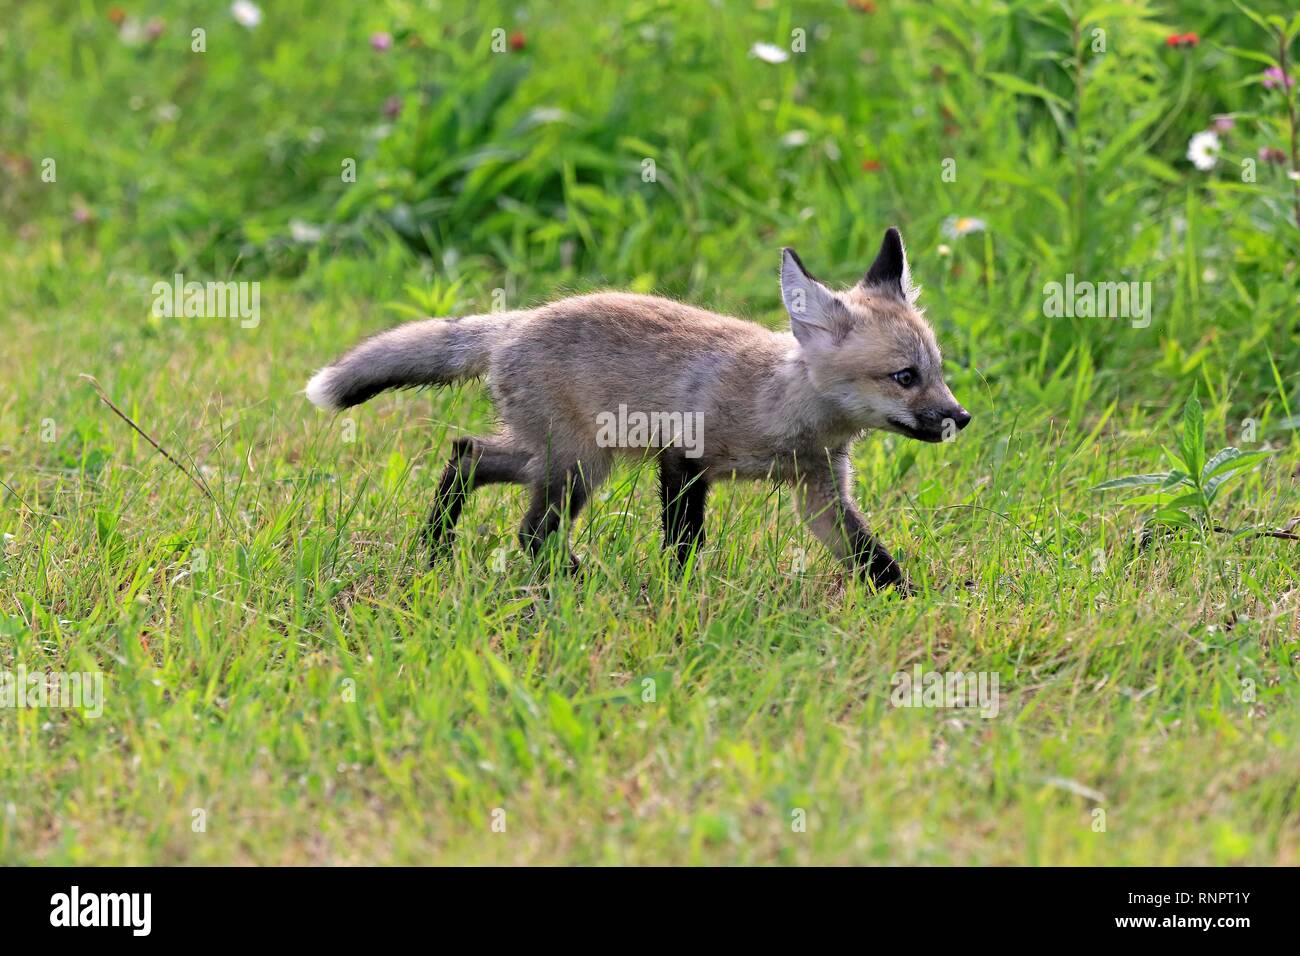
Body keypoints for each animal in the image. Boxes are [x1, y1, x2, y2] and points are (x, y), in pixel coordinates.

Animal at [305, 227, 970, 592]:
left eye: (939, 373)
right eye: (905, 378)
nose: (960, 418)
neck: (779, 409)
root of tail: (516, 322)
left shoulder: (822, 493)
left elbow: (874, 560)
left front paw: (912, 602)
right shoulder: (683, 458)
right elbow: (683, 544)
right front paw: (680, 597)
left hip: (554, 459)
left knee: (469, 456)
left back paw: (437, 548)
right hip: (578, 466)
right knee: (532, 532)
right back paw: (585, 581)